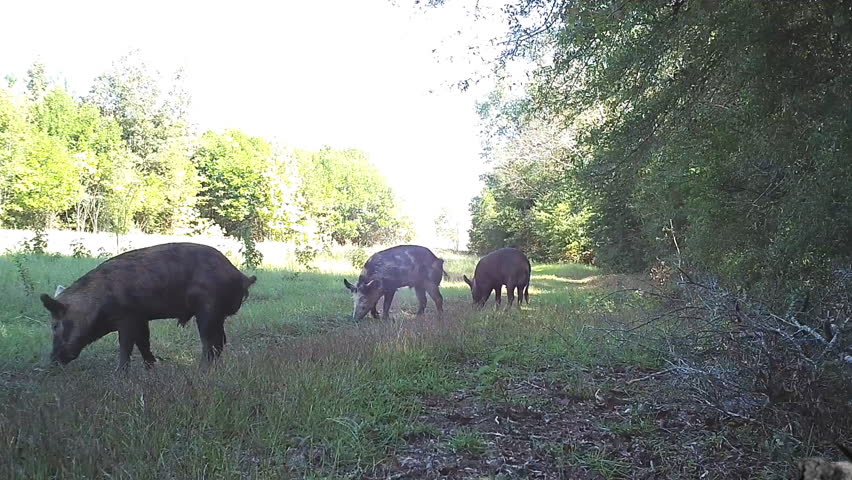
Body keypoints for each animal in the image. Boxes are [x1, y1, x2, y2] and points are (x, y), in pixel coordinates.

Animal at [39, 242, 257, 369]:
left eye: (55, 325)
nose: (52, 361)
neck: (96, 304)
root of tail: (240, 276)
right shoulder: (141, 317)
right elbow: (143, 342)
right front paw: (152, 367)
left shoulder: (127, 317)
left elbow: (126, 345)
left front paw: (121, 373)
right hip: (217, 315)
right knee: (220, 341)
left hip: (208, 309)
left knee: (210, 342)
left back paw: (202, 368)